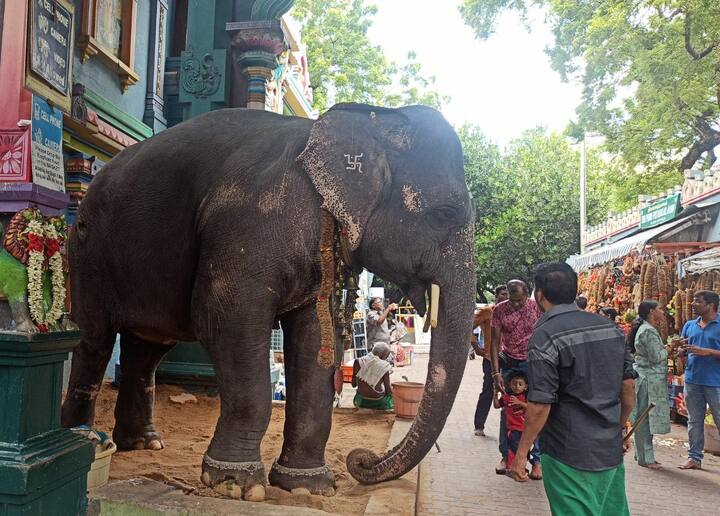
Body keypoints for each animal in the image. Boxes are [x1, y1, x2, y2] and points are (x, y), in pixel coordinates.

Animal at [60, 103, 475, 500]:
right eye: (445, 213)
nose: (361, 460)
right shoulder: (248, 225)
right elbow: (222, 321)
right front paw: (235, 484)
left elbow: (313, 342)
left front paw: (309, 486)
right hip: (87, 251)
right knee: (94, 341)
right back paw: (82, 442)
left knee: (148, 349)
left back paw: (144, 443)